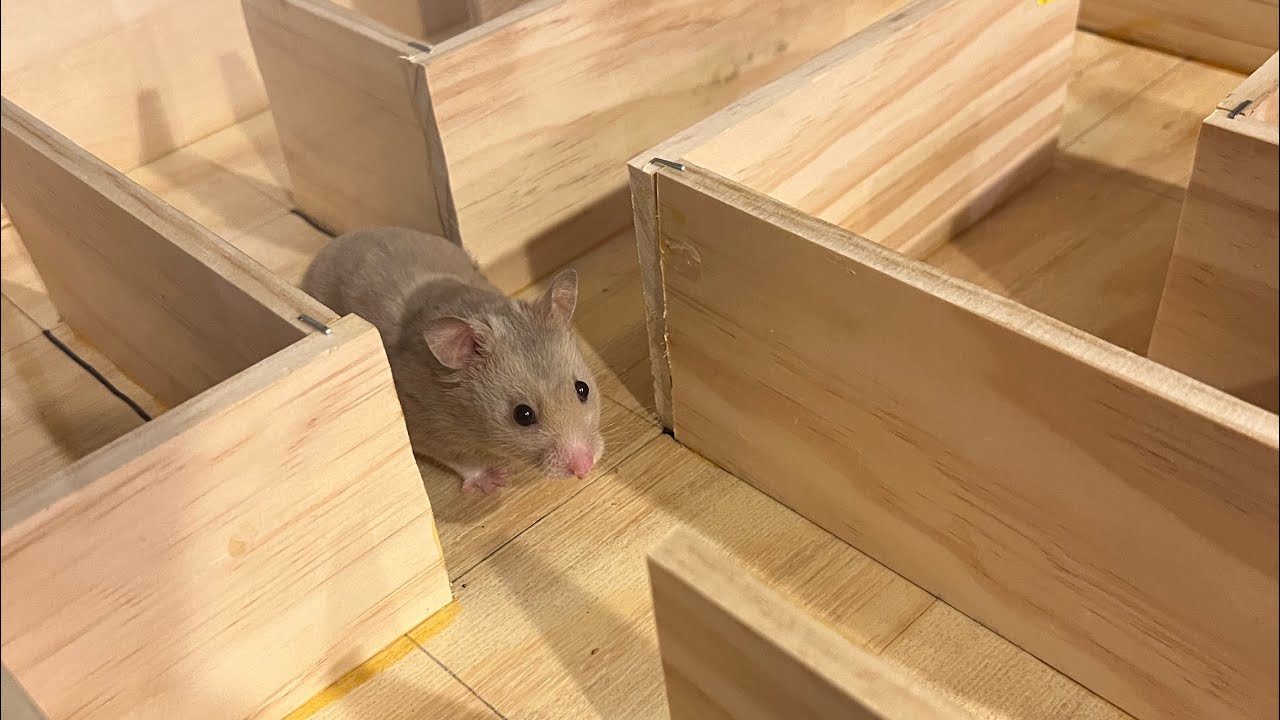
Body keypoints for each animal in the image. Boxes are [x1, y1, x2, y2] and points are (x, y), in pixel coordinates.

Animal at [301, 226, 604, 495]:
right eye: (523, 415)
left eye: (583, 389)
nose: (584, 469)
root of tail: (330, 245)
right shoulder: (423, 426)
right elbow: (462, 461)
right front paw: (495, 481)